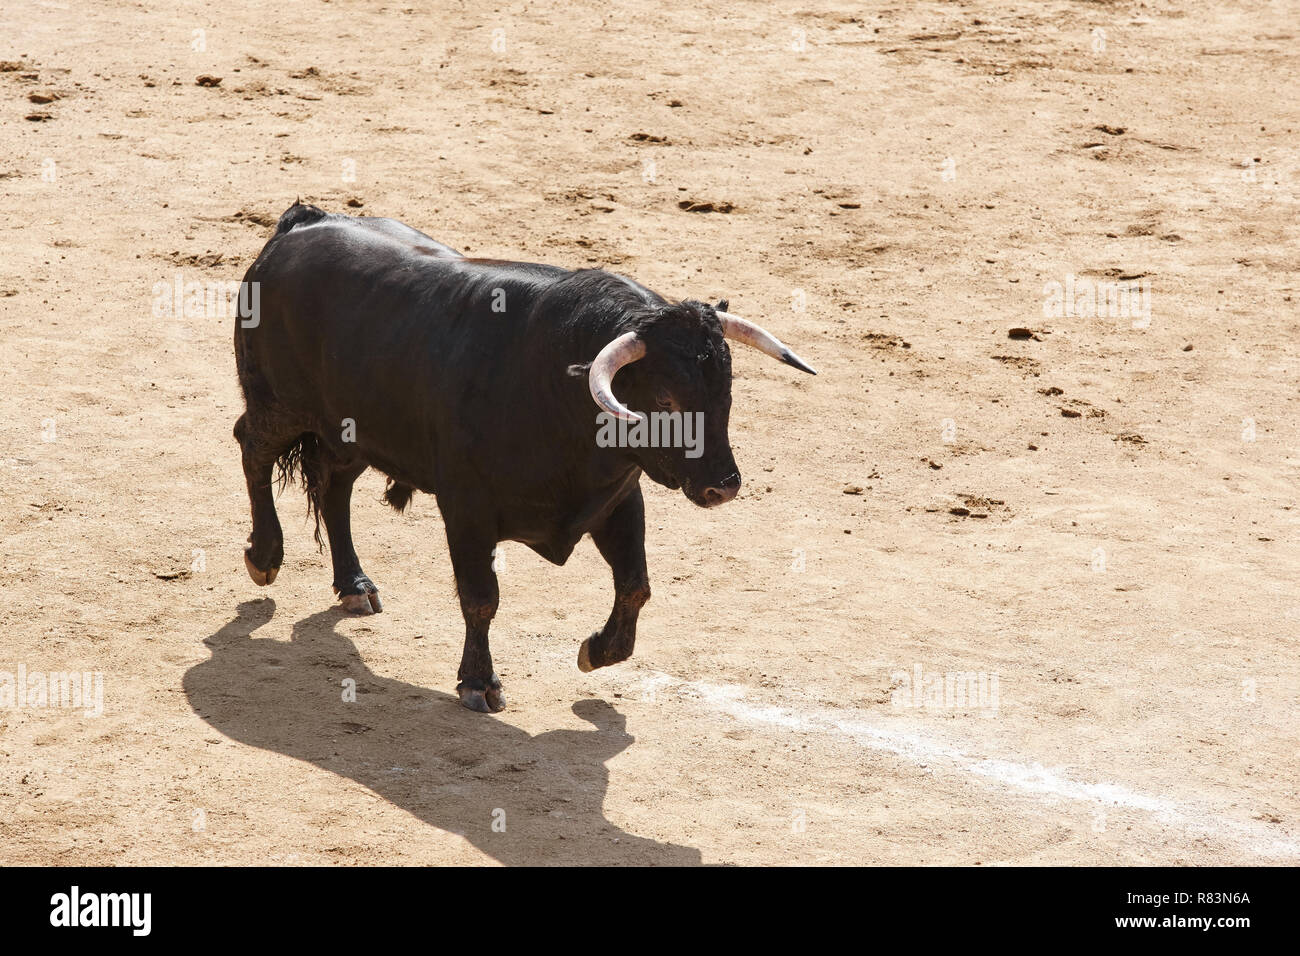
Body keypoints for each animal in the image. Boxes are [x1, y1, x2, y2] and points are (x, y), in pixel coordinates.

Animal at [233, 203, 815, 712]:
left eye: (726, 393)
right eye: (667, 400)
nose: (724, 485)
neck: (556, 387)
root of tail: (303, 224)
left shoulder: (618, 499)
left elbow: (635, 586)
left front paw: (596, 651)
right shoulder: (466, 508)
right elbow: (481, 596)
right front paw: (479, 684)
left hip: (350, 431)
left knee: (334, 485)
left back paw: (355, 586)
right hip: (280, 406)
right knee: (251, 447)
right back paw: (264, 556)